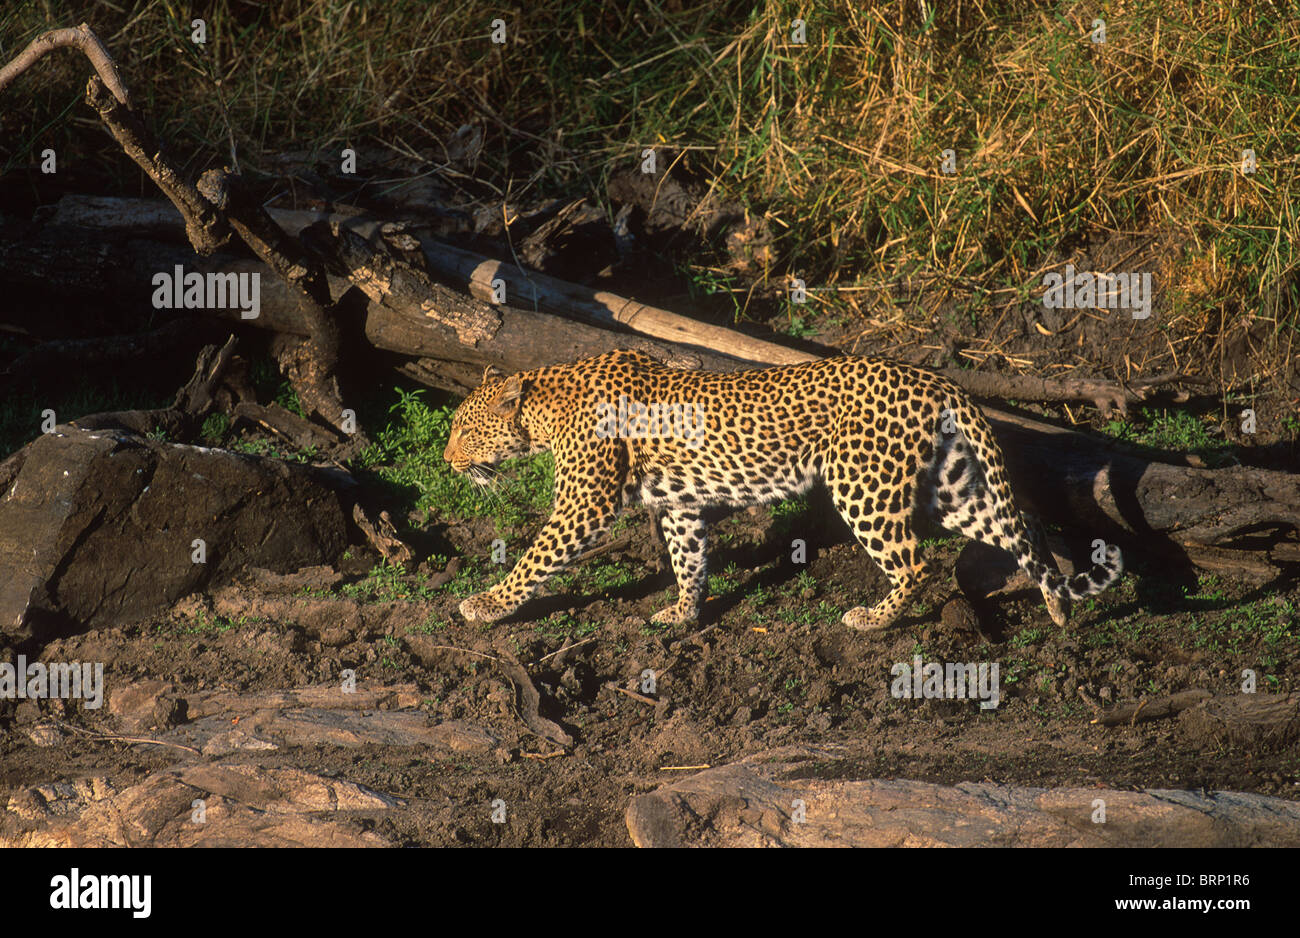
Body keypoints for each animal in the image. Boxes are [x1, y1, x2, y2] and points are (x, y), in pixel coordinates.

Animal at [442, 349, 1122, 630]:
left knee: (917, 563)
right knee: (1021, 525)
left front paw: (487, 604)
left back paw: (873, 622)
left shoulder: (585, 504)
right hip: (948, 487)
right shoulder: (681, 503)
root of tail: (936, 379)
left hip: (863, 484)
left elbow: (536, 557)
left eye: (464, 430)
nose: (447, 461)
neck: (544, 405)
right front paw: (684, 613)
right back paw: (1058, 606)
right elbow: (689, 558)